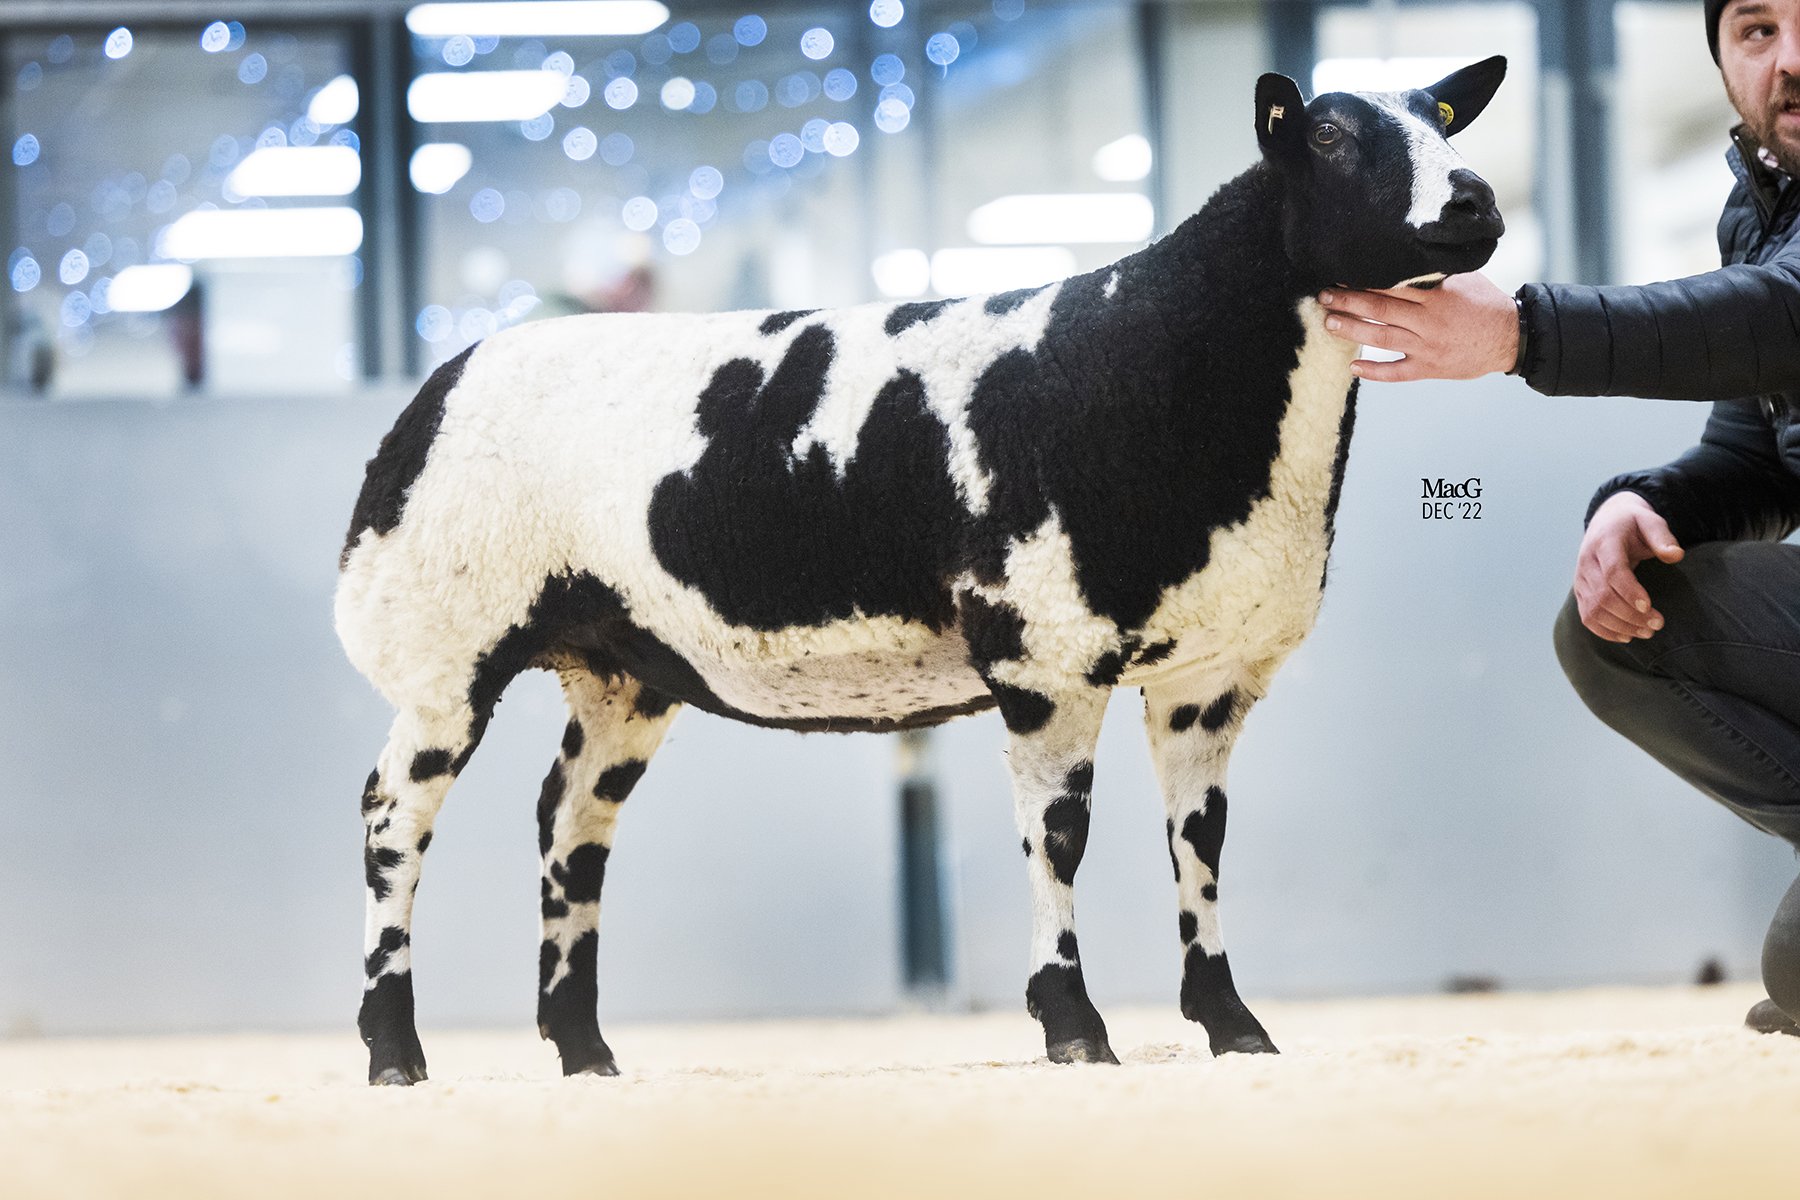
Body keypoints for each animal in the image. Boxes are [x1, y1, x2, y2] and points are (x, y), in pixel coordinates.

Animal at [336, 58, 1508, 1084]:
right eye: (1330, 135)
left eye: (1447, 121)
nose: (1476, 202)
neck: (1168, 358)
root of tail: (441, 383)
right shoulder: (1044, 653)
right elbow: (1061, 837)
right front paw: (1073, 1028)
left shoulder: (1208, 676)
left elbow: (1201, 841)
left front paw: (1233, 1028)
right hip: (443, 646)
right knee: (394, 818)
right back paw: (394, 1054)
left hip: (619, 666)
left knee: (571, 827)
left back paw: (583, 1053)